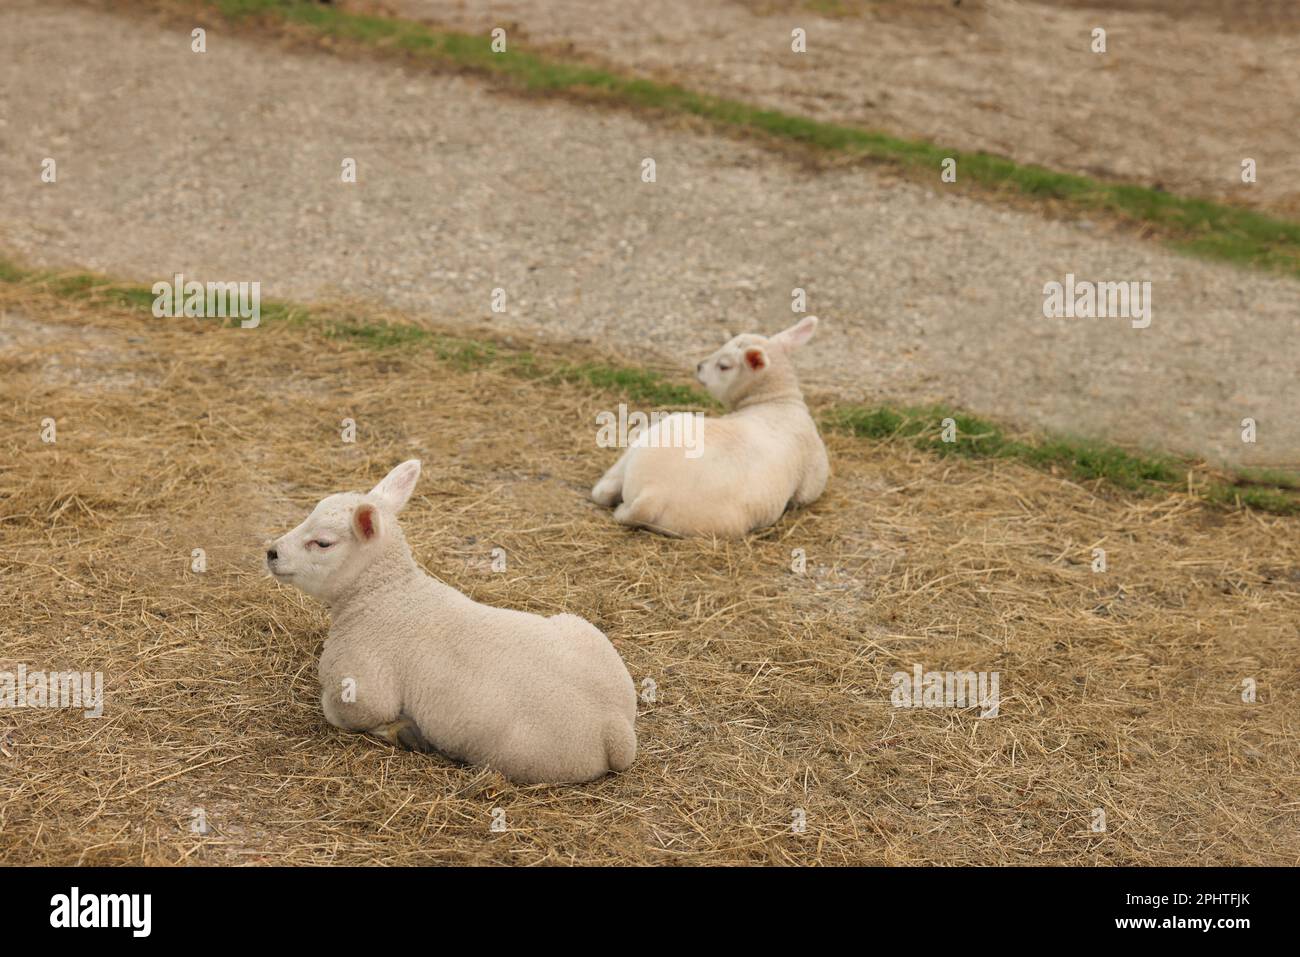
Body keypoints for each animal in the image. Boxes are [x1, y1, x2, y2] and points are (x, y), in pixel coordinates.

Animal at [265, 460, 637, 785]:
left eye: (322, 542)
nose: (271, 552)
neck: (384, 595)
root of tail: (616, 730)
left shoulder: (359, 689)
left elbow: (342, 712)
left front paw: (404, 732)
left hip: (522, 758)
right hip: (581, 628)